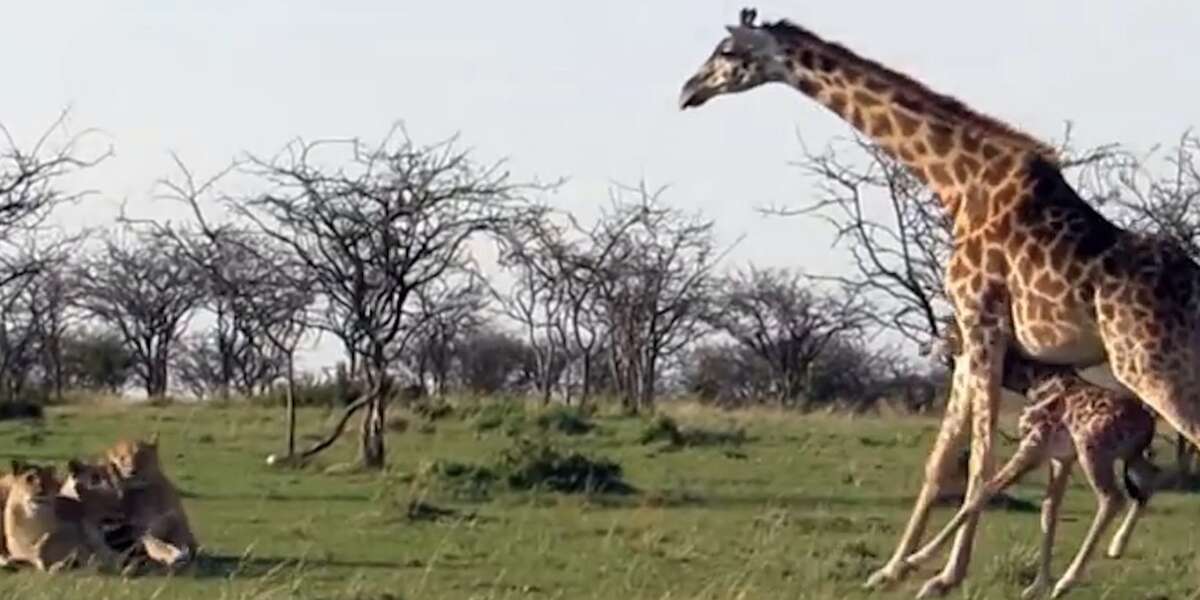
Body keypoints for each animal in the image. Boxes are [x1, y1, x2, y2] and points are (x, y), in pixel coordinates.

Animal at [105, 435, 197, 567]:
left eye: (141, 454)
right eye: (122, 458)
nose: (132, 471)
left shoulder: (176, 523)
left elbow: (185, 539)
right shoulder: (141, 531)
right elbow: (151, 541)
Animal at [905, 323, 1163, 599]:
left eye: (948, 331)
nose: (924, 348)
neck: (1031, 382)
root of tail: (1148, 421)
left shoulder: (1033, 445)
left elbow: (984, 491)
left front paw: (918, 558)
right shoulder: (1060, 457)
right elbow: (1049, 510)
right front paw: (1038, 585)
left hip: (1093, 450)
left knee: (1112, 498)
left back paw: (1067, 582)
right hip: (1129, 455)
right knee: (1149, 481)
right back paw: (1116, 545)